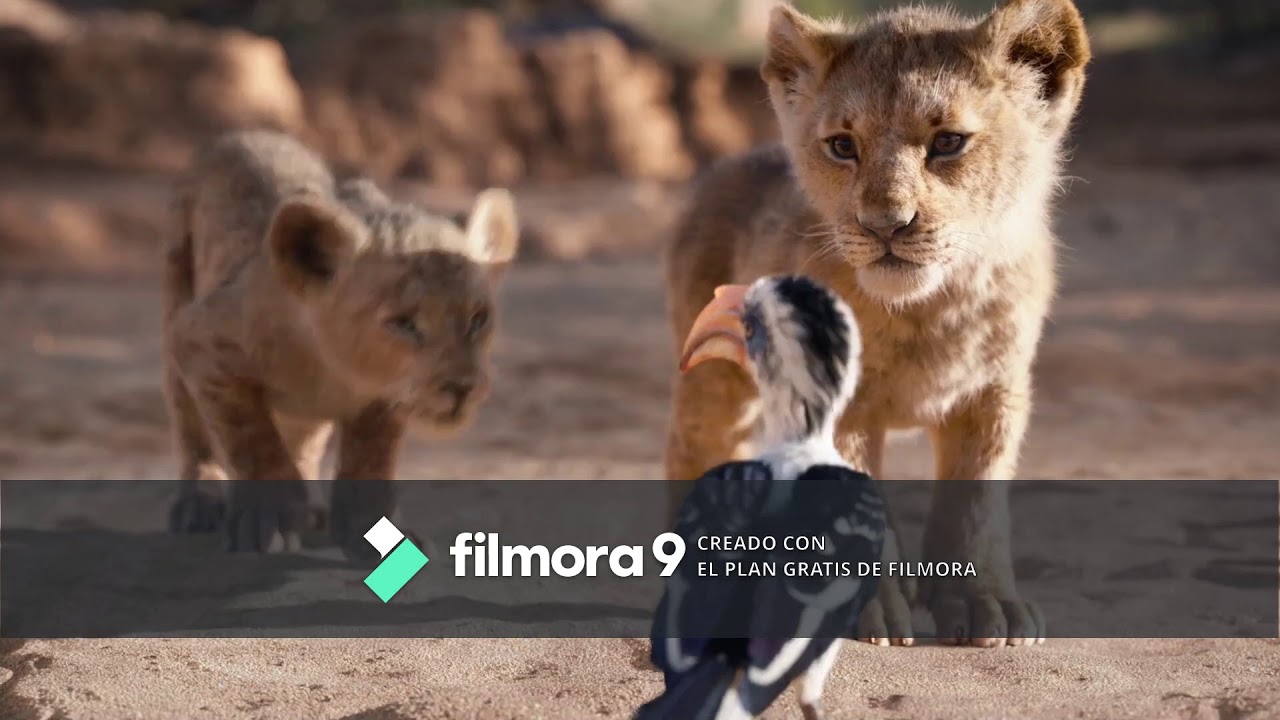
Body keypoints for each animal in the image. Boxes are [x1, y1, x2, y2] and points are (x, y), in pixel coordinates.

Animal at [162, 129, 518, 557]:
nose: (462, 388)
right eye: (404, 323)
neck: (334, 370)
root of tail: (243, 134)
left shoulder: (384, 398)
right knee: (191, 424)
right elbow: (252, 439)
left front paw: (375, 531)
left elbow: (370, 461)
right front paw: (266, 522)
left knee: (302, 439)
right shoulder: (201, 340)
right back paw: (200, 502)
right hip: (177, 295)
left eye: (478, 319)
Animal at [663, 0, 1090, 648]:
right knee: (693, 450)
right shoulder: (838, 400)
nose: (886, 225)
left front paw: (985, 603)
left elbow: (977, 502)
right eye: (843, 145)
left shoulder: (996, 391)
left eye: (949, 142)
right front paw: (865, 608)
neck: (927, 309)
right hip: (714, 375)